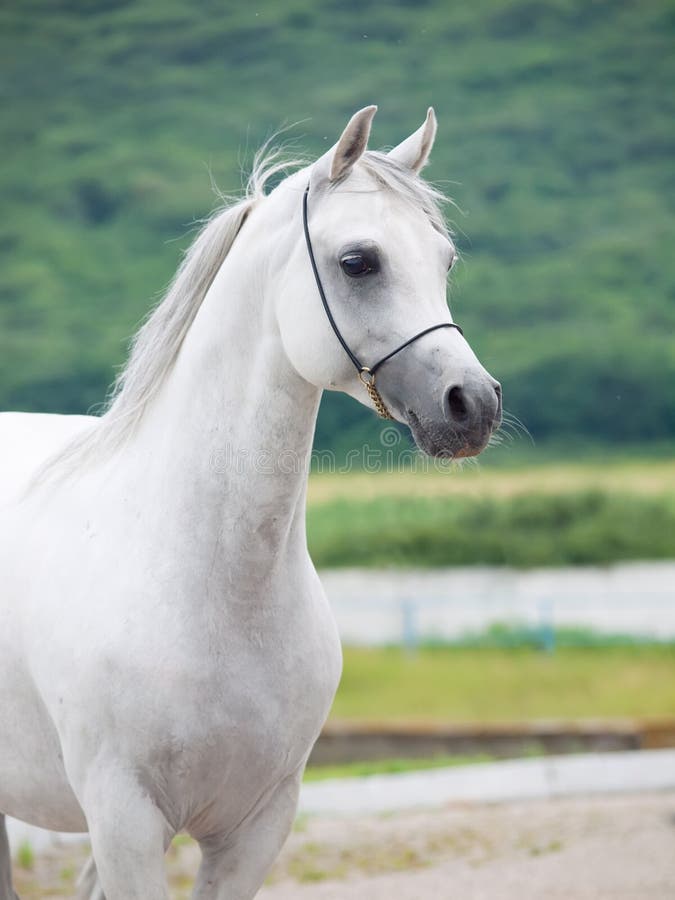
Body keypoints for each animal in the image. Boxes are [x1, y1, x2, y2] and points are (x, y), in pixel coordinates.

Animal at [0, 105, 501, 899]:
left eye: (443, 260)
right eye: (358, 261)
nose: (472, 405)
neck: (218, 588)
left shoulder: (256, 827)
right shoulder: (125, 824)